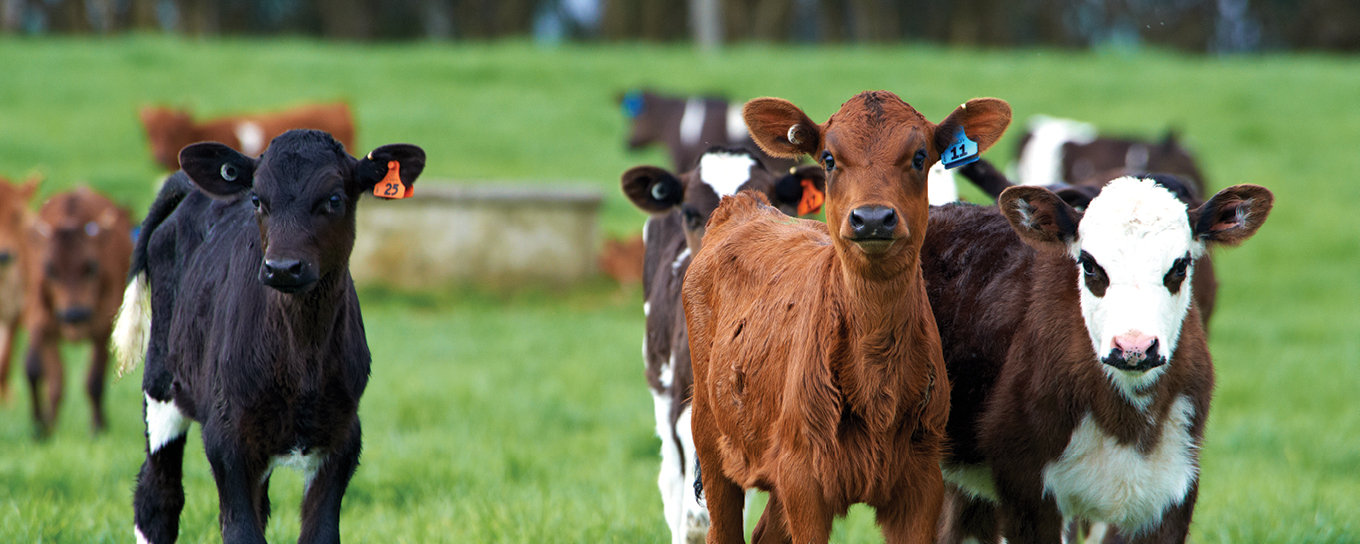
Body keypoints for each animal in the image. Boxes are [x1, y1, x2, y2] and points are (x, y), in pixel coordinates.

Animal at [21, 186, 133, 436]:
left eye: (91, 266)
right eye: (49, 268)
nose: (75, 314)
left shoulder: (104, 327)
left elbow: (94, 380)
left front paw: (97, 427)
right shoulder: (39, 319)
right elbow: (35, 369)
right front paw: (41, 427)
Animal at [113, 129, 424, 544]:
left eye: (334, 199)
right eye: (258, 200)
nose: (283, 267)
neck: (302, 356)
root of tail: (188, 187)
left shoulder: (342, 437)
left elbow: (319, 532)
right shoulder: (226, 436)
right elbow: (241, 530)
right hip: (162, 381)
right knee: (158, 498)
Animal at [684, 91, 1012, 544]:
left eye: (920, 157)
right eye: (828, 158)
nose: (872, 217)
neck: (875, 377)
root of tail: (744, 205)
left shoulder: (923, 481)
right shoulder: (802, 479)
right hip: (711, 437)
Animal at [922, 177, 1272, 543]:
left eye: (1180, 265)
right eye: (1089, 265)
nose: (1134, 346)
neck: (1127, 420)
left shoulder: (1172, 486)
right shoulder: (1027, 487)